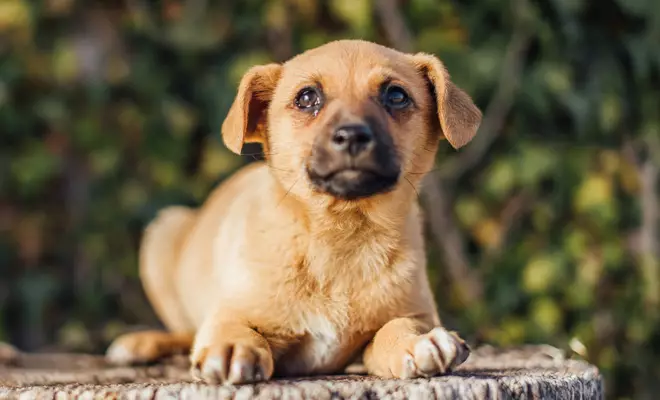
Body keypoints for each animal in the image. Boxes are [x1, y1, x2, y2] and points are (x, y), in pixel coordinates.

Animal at [107, 38, 480, 384]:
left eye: (397, 96)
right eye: (307, 98)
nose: (352, 136)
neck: (342, 235)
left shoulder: (413, 313)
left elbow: (398, 327)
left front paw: (418, 342)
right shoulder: (231, 308)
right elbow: (232, 325)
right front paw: (233, 346)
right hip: (164, 231)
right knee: (186, 331)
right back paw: (141, 343)